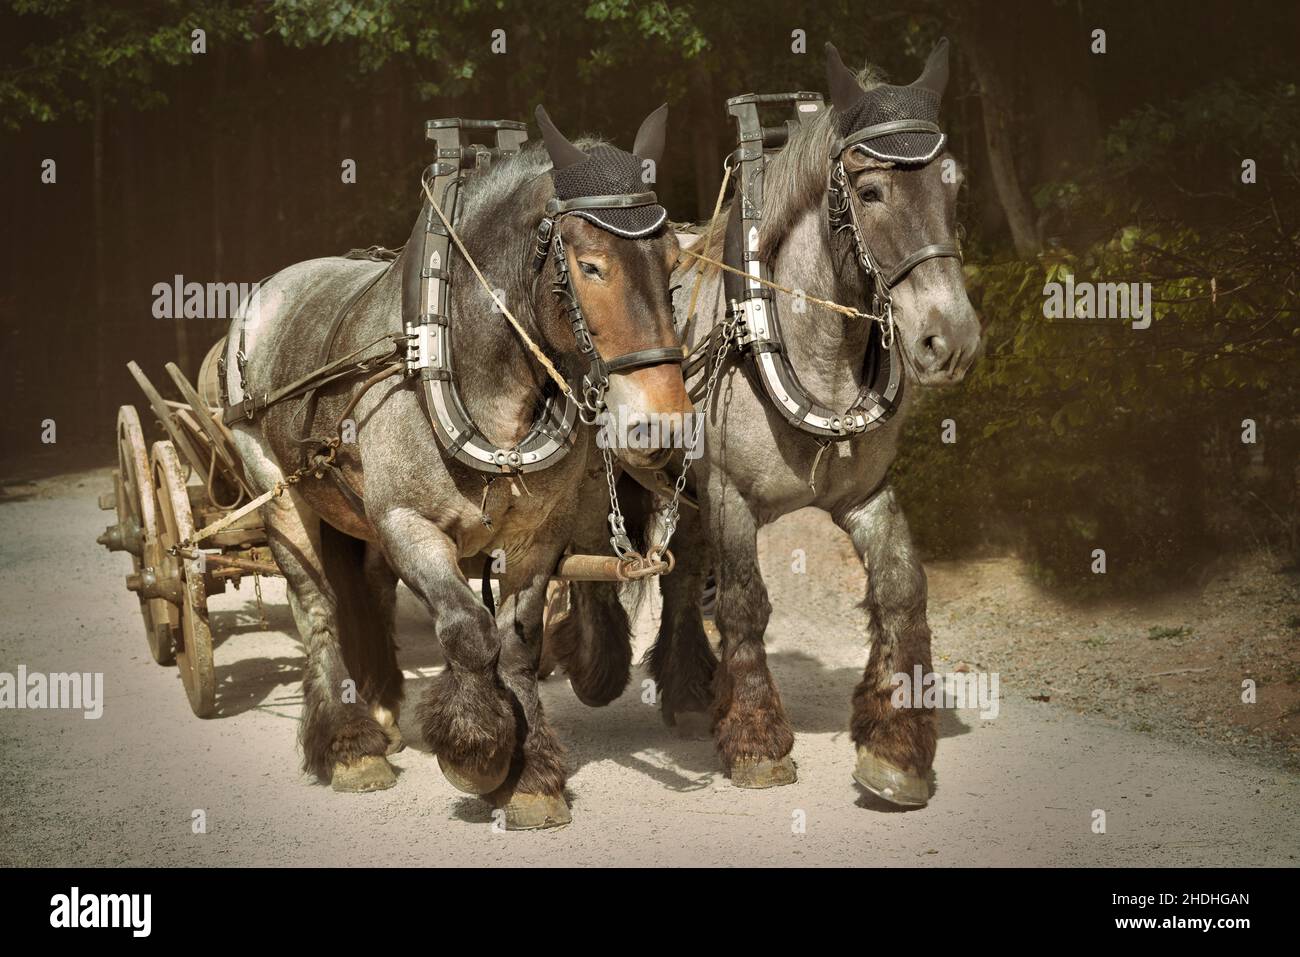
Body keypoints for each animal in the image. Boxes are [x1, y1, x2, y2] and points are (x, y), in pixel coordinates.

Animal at [224, 104, 691, 829]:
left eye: (673, 259)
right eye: (590, 266)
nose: (663, 422)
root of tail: (269, 291)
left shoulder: (538, 536)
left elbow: (519, 640)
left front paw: (531, 776)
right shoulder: (408, 523)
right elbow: (470, 632)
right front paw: (477, 750)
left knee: (366, 592)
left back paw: (381, 707)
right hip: (275, 486)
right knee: (318, 605)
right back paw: (351, 744)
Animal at [547, 41, 982, 807]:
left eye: (952, 182)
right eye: (871, 191)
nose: (948, 338)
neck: (803, 348)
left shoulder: (865, 495)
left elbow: (902, 587)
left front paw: (896, 747)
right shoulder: (729, 495)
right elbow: (745, 603)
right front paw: (756, 739)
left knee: (682, 572)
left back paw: (689, 690)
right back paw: (592, 660)